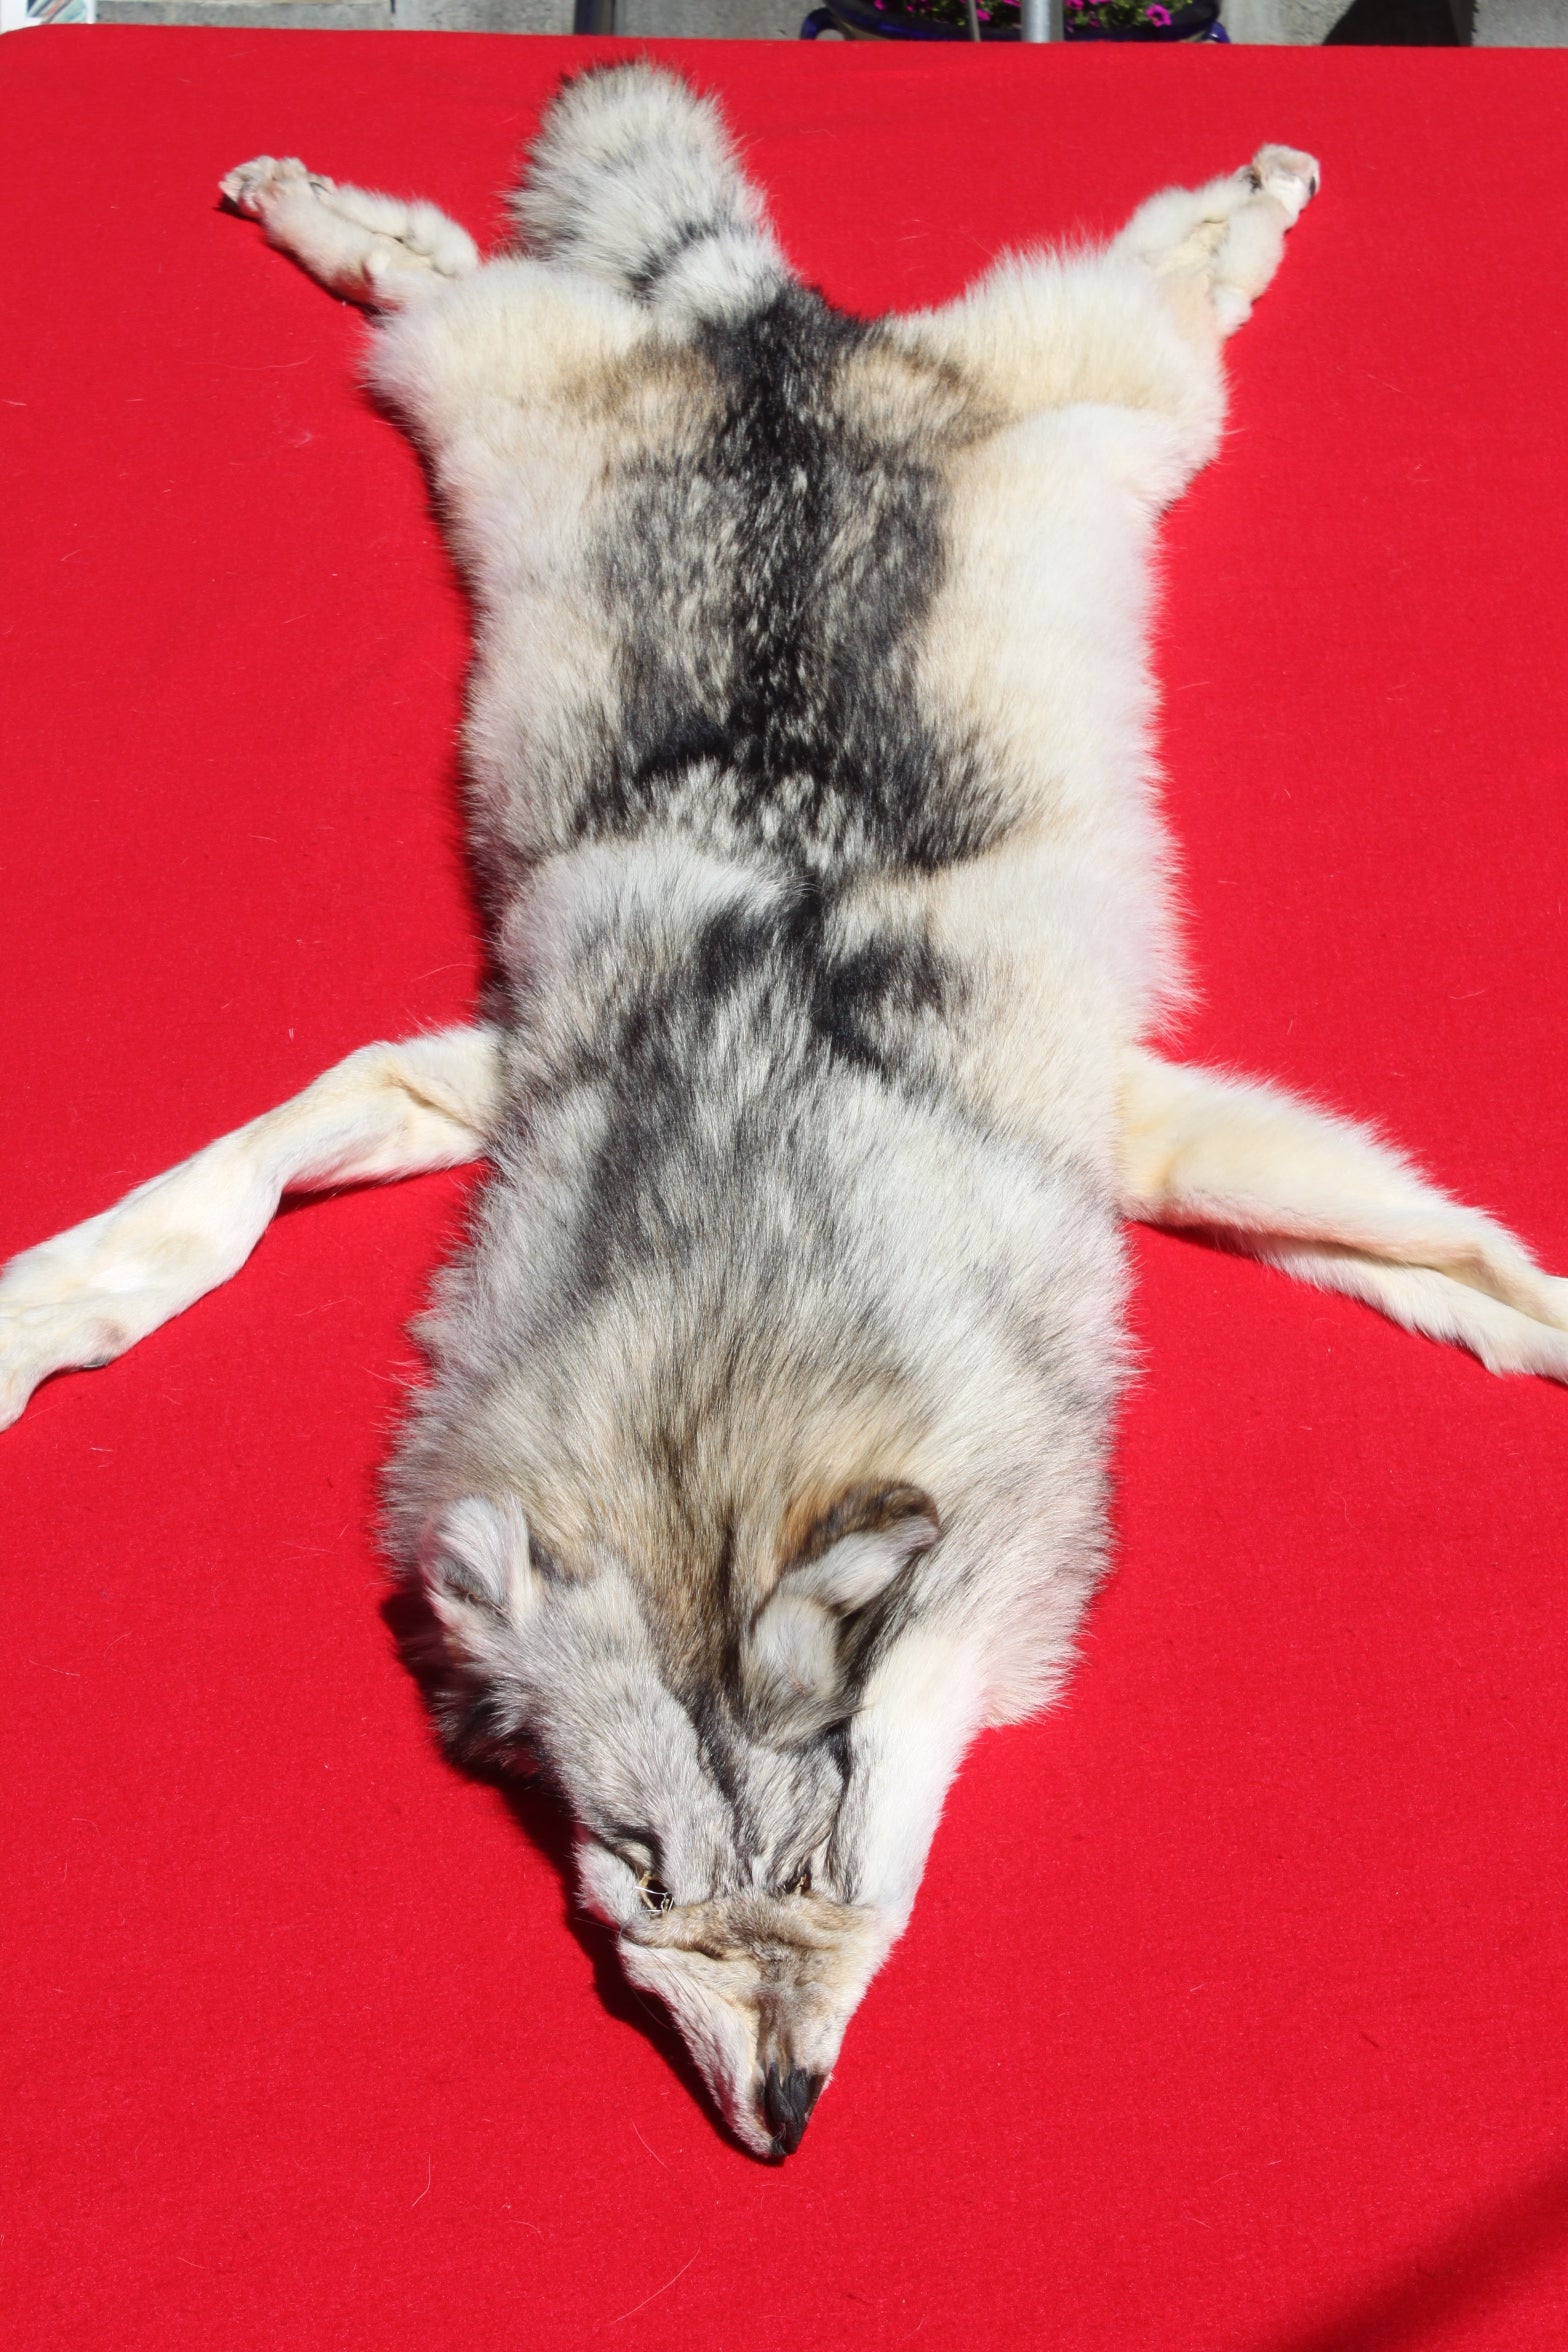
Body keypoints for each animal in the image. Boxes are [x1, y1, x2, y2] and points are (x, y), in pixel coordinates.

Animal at [2, 64, 1563, 2161]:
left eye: (829, 1861)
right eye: (635, 1871)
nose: (780, 2122)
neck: (756, 1170)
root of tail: (765, 327)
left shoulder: (1129, 1119)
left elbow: (1456, 1254)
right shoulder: (474, 1065)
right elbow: (210, 1199)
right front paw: (43, 1311)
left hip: (1133, 394)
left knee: (1158, 268)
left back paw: (1254, 186)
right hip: (483, 376)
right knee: (444, 256)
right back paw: (310, 200)